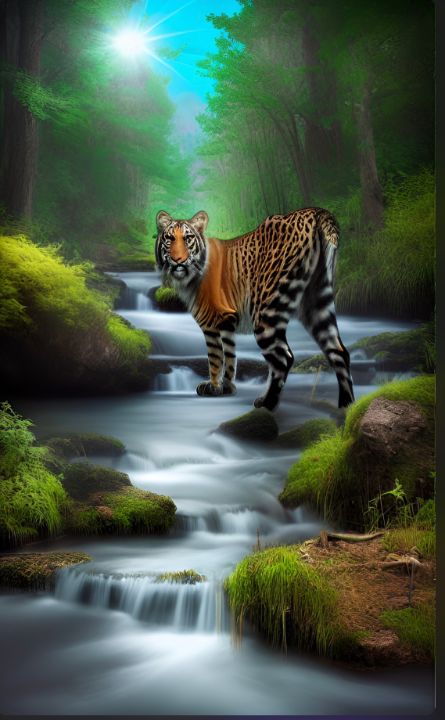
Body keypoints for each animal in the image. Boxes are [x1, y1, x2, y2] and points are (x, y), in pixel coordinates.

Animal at [155, 208, 354, 411]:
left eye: (188, 238)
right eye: (170, 238)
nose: (179, 260)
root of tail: (316, 212)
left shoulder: (212, 324)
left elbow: (215, 358)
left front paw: (213, 387)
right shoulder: (227, 322)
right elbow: (230, 355)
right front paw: (227, 387)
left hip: (266, 311)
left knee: (284, 359)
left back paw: (267, 404)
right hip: (316, 302)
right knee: (339, 352)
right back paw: (347, 405)